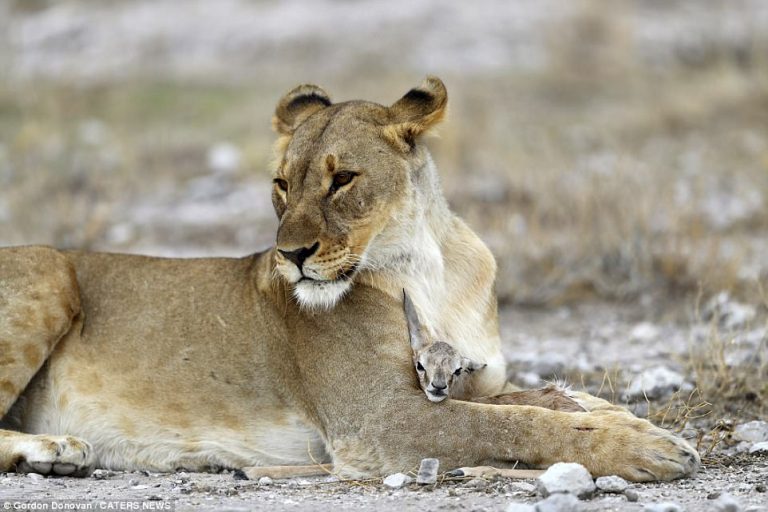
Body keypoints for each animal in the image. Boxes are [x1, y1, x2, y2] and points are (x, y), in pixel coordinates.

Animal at [0, 77, 699, 481]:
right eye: (282, 184)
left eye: (342, 179)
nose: (290, 255)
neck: (430, 265)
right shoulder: (381, 419)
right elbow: (513, 424)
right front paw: (647, 449)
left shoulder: (457, 384)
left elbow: (534, 401)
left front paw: (623, 418)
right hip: (48, 270)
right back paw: (56, 449)